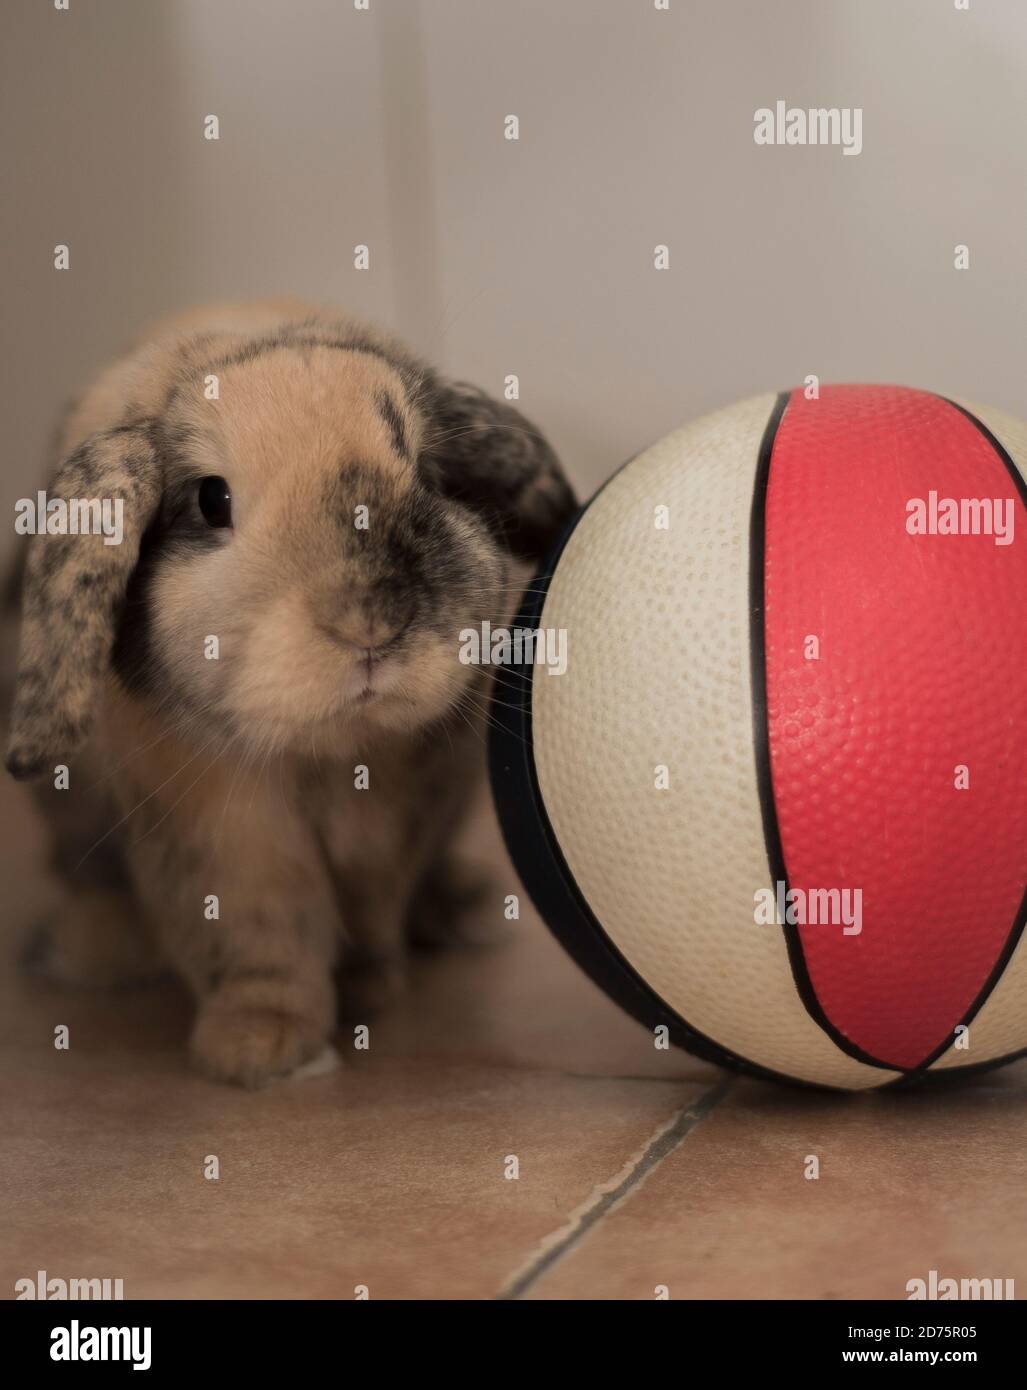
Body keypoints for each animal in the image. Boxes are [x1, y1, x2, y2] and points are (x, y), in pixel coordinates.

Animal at [3, 300, 576, 1086]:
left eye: (429, 474)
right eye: (211, 499)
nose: (368, 623)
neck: (328, 758)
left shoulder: (400, 814)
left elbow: (371, 903)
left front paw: (367, 987)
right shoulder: (217, 828)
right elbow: (258, 932)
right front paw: (257, 1050)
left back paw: (466, 909)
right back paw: (90, 950)